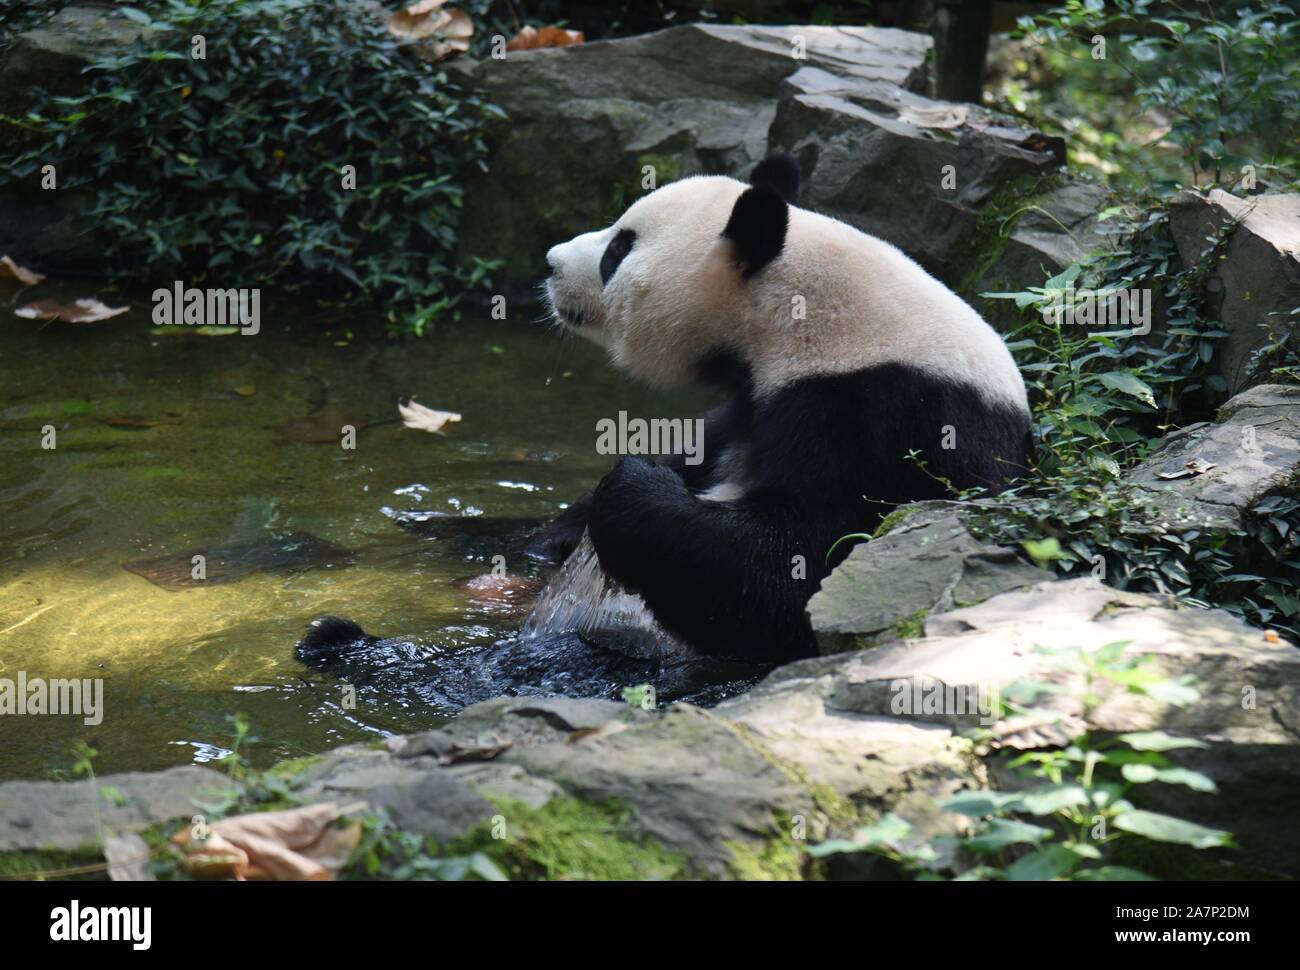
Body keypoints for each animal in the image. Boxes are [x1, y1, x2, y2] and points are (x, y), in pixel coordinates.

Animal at [525, 154, 1031, 663]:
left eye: (618, 250)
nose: (550, 263)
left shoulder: (889, 420)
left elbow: (796, 570)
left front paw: (631, 485)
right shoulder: (753, 401)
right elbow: (703, 447)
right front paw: (560, 532)